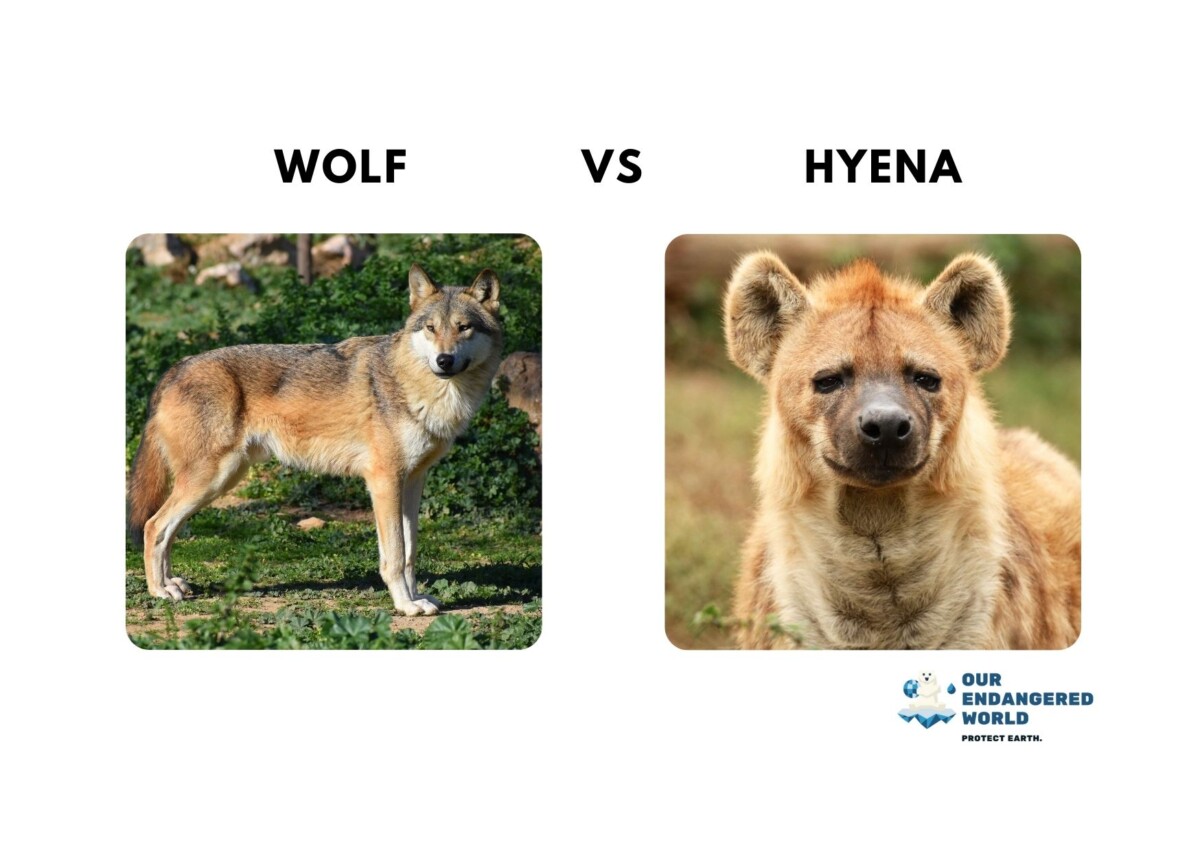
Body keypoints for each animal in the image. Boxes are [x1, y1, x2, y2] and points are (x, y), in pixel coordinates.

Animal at [127, 263, 503, 616]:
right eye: (431, 328)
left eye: (464, 327)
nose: (444, 360)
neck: (417, 387)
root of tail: (175, 368)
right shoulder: (384, 481)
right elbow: (395, 556)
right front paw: (405, 606)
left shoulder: (412, 482)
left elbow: (410, 553)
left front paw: (418, 598)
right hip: (211, 480)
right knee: (153, 526)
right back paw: (159, 591)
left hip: (218, 482)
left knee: (167, 530)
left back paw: (172, 583)